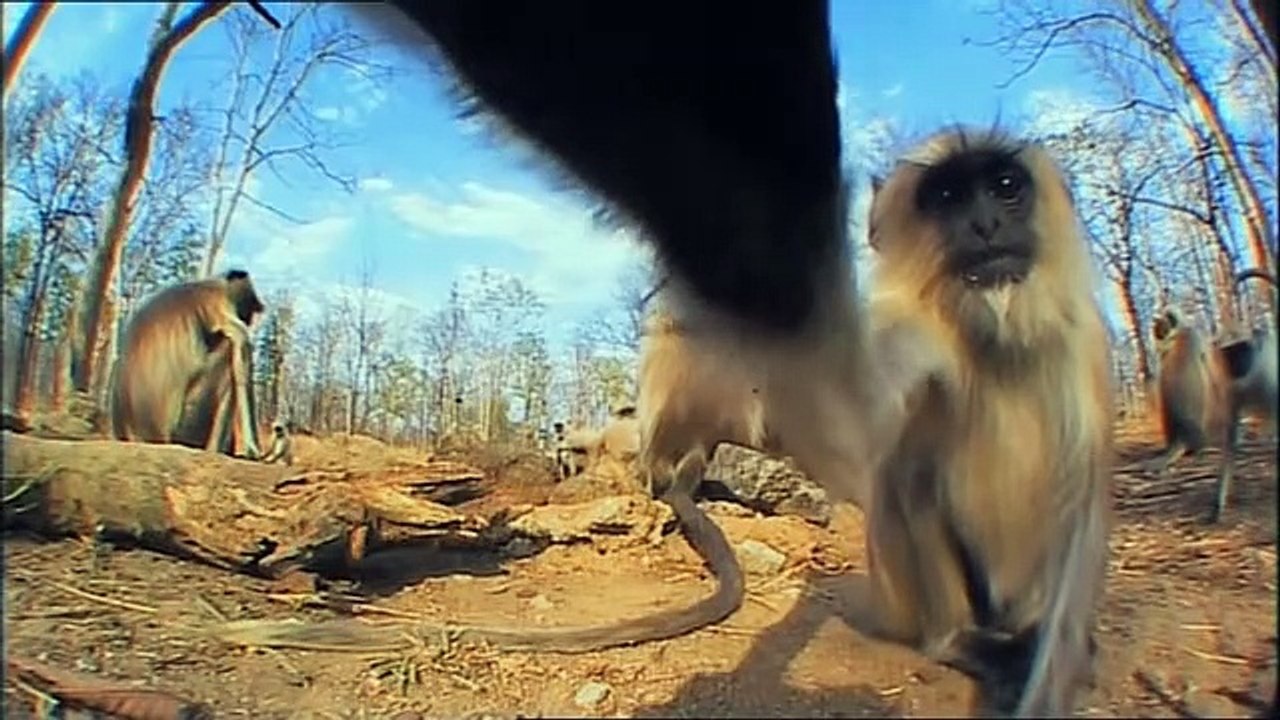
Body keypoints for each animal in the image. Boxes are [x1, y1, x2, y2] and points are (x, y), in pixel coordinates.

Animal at [110, 269, 265, 460]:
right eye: (250, 306)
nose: (250, 319)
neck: (217, 284)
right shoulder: (221, 305)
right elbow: (242, 371)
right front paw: (253, 448)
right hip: (183, 422)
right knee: (228, 351)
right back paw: (213, 450)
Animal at [849, 128, 1115, 717]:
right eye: (948, 197)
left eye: (1005, 186)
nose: (987, 224)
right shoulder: (911, 336)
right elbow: (909, 478)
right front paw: (955, 643)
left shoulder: (1083, 337)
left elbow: (1080, 501)